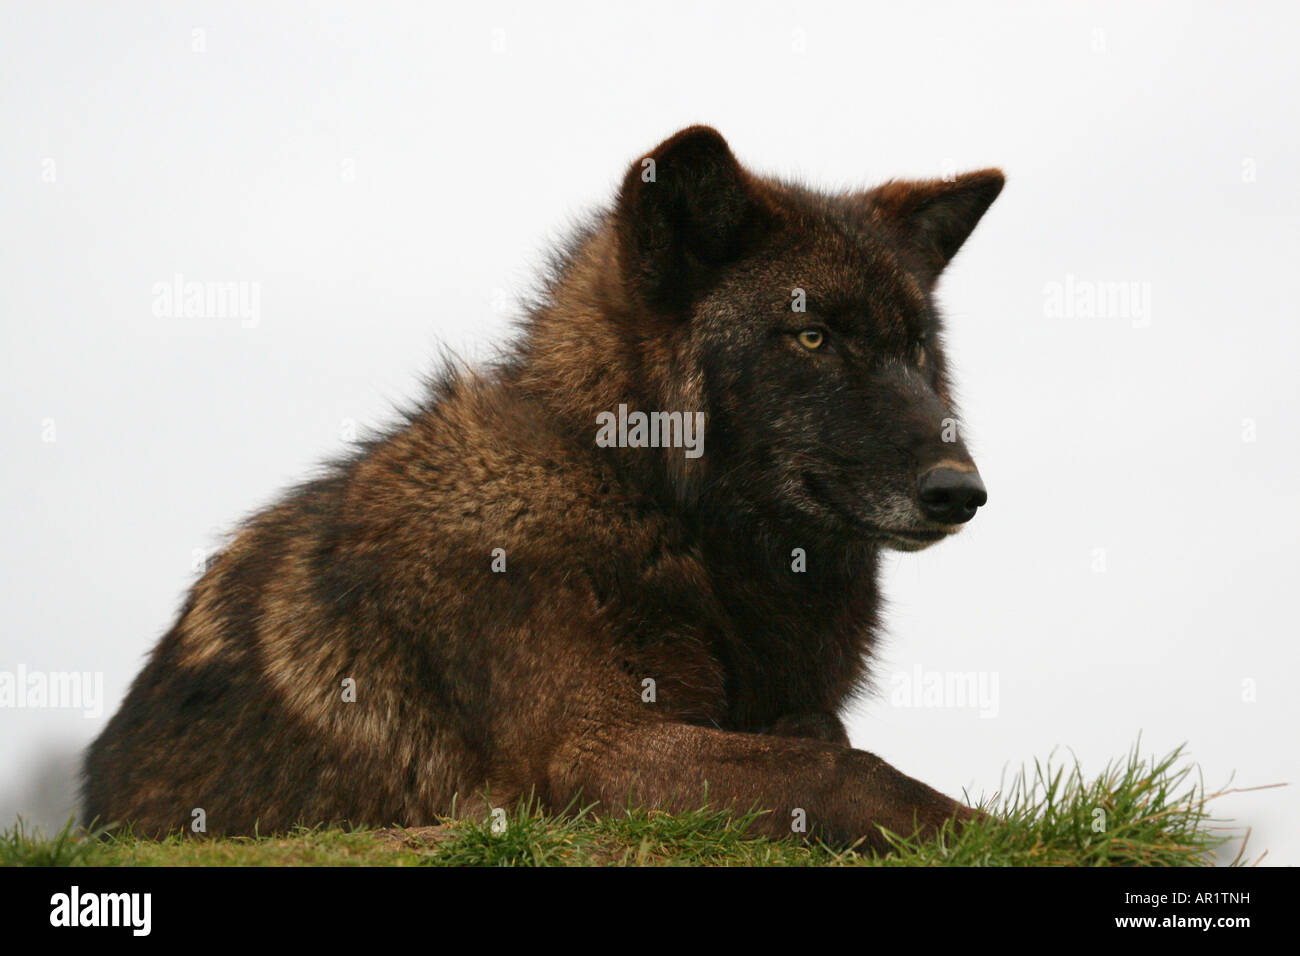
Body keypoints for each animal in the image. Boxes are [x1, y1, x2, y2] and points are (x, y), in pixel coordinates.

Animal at [83, 126, 1003, 849]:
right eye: (812, 335)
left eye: (918, 348)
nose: (960, 491)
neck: (643, 500)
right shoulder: (589, 757)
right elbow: (843, 768)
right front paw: (996, 829)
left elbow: (825, 736)